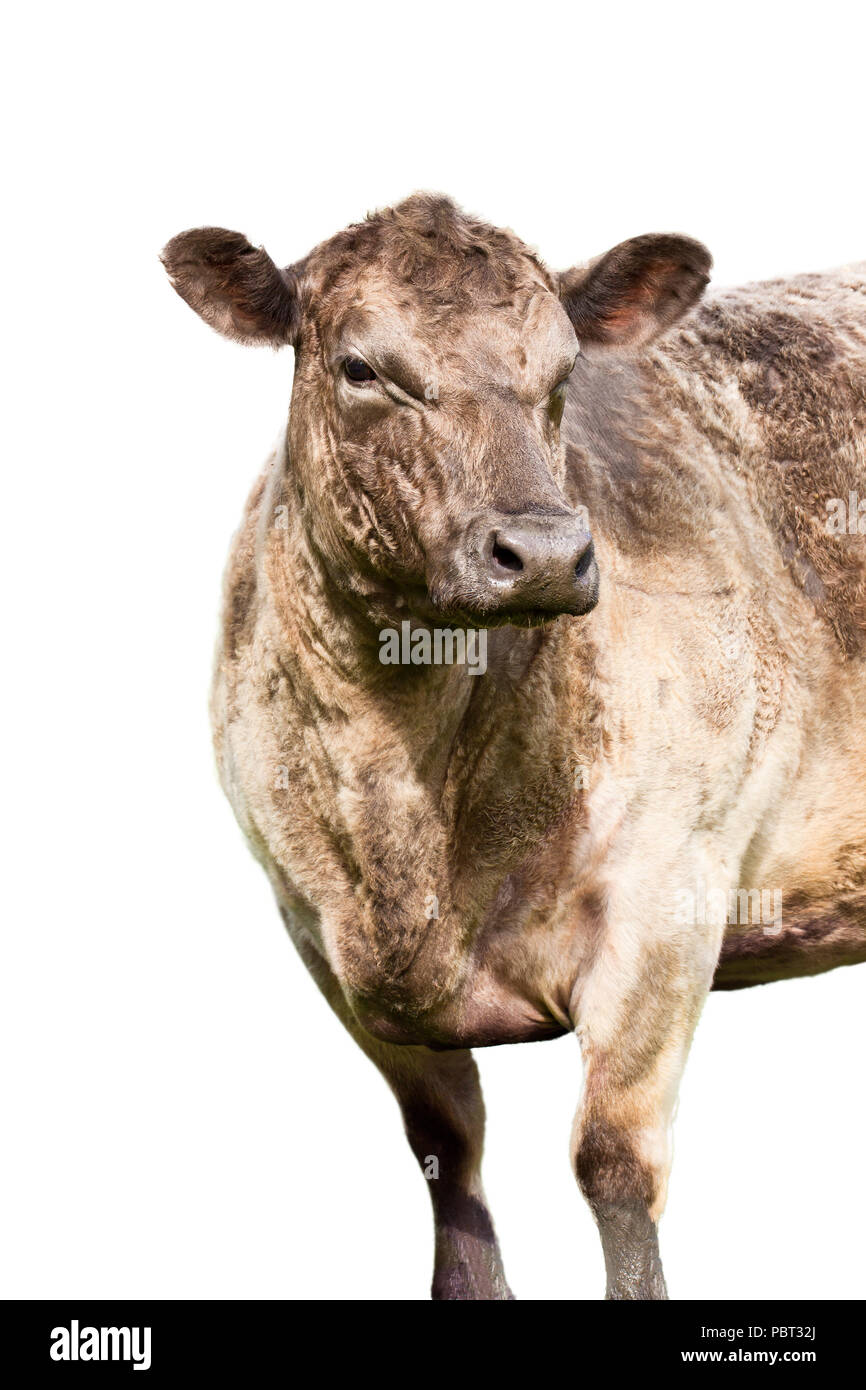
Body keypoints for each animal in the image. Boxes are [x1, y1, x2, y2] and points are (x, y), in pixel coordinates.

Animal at [161, 194, 866, 1300]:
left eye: (563, 371)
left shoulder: (670, 901)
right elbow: (446, 1150)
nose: (542, 552)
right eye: (359, 369)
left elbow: (612, 1166)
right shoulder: (316, 932)